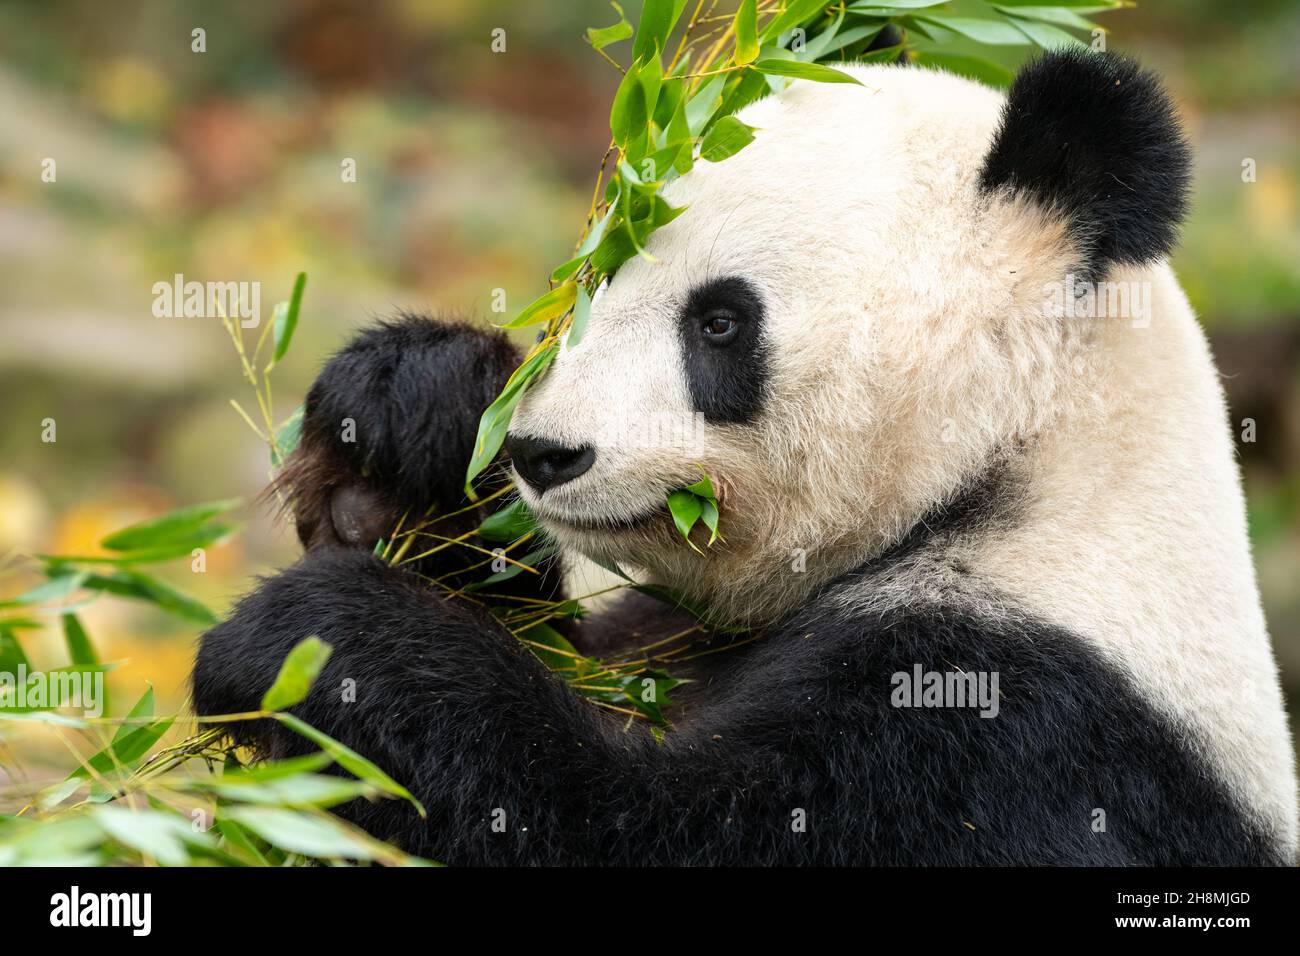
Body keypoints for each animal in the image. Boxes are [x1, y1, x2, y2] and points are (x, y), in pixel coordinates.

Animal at [193, 49, 1298, 866]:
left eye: (719, 321)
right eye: (596, 277)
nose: (545, 453)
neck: (1026, 463)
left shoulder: (1021, 732)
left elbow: (639, 824)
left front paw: (312, 644)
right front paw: (399, 434)